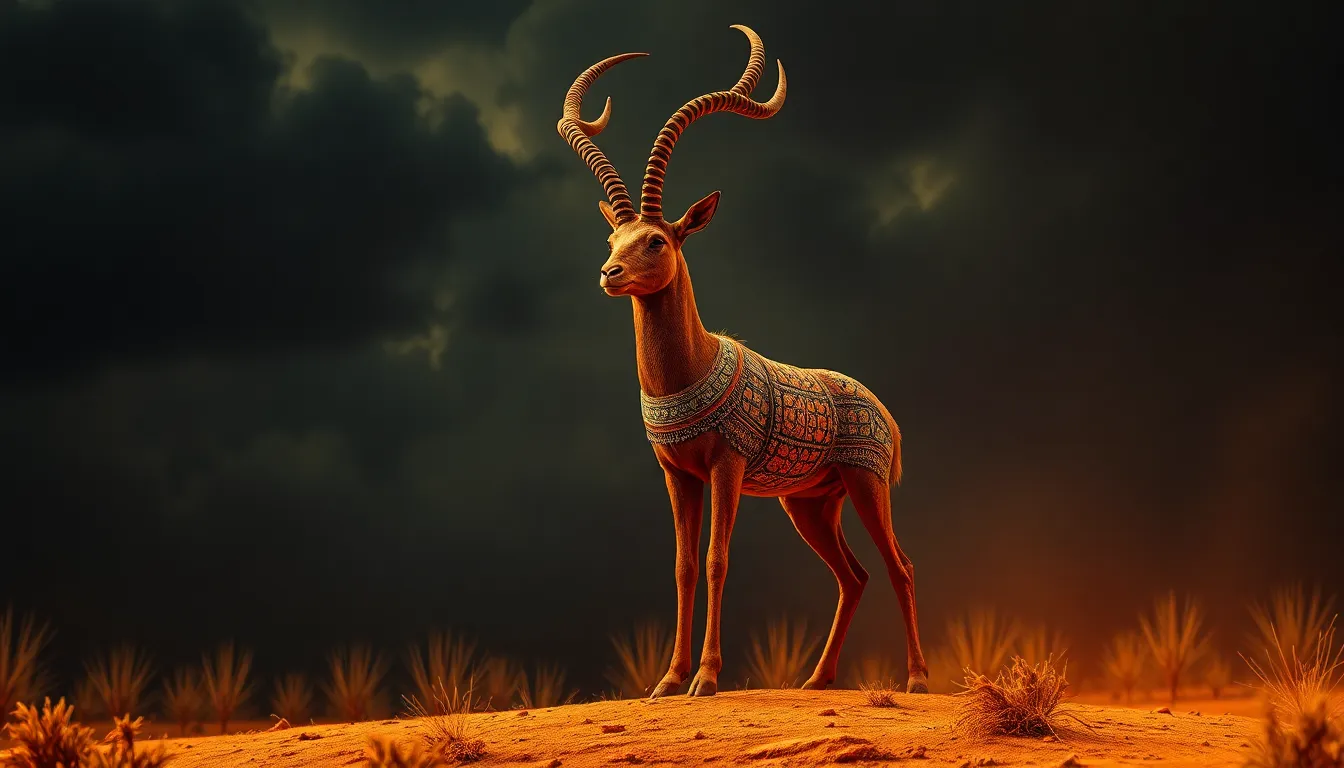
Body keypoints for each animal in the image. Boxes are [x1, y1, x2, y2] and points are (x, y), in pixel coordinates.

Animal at [557, 25, 929, 697]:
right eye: (612, 238)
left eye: (657, 239)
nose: (609, 273)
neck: (694, 364)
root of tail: (883, 411)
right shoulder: (677, 474)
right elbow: (681, 565)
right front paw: (668, 681)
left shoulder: (726, 467)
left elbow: (716, 560)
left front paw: (706, 678)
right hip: (809, 504)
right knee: (854, 575)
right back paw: (816, 681)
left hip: (865, 486)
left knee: (901, 565)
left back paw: (915, 679)